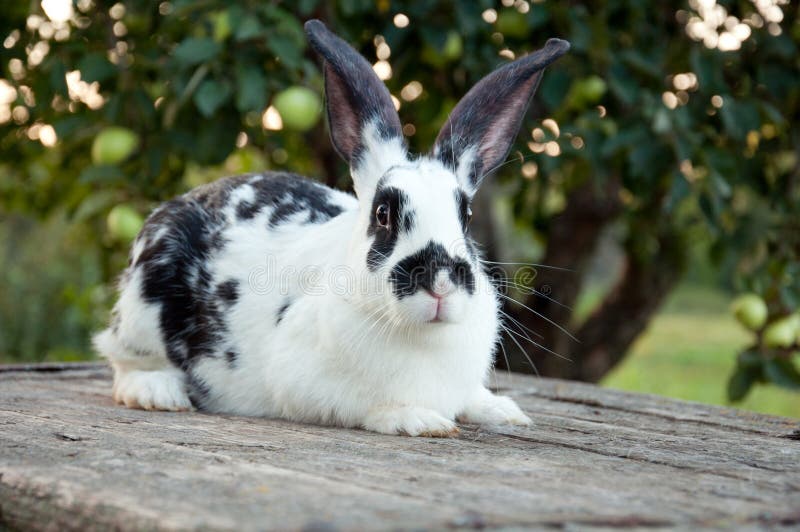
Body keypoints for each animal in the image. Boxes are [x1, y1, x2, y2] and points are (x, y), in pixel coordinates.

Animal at [93, 19, 569, 436]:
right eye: (383, 214)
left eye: (465, 215)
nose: (440, 282)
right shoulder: (305, 383)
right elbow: (363, 405)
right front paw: (418, 420)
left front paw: (502, 411)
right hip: (144, 302)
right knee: (123, 361)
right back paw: (159, 393)